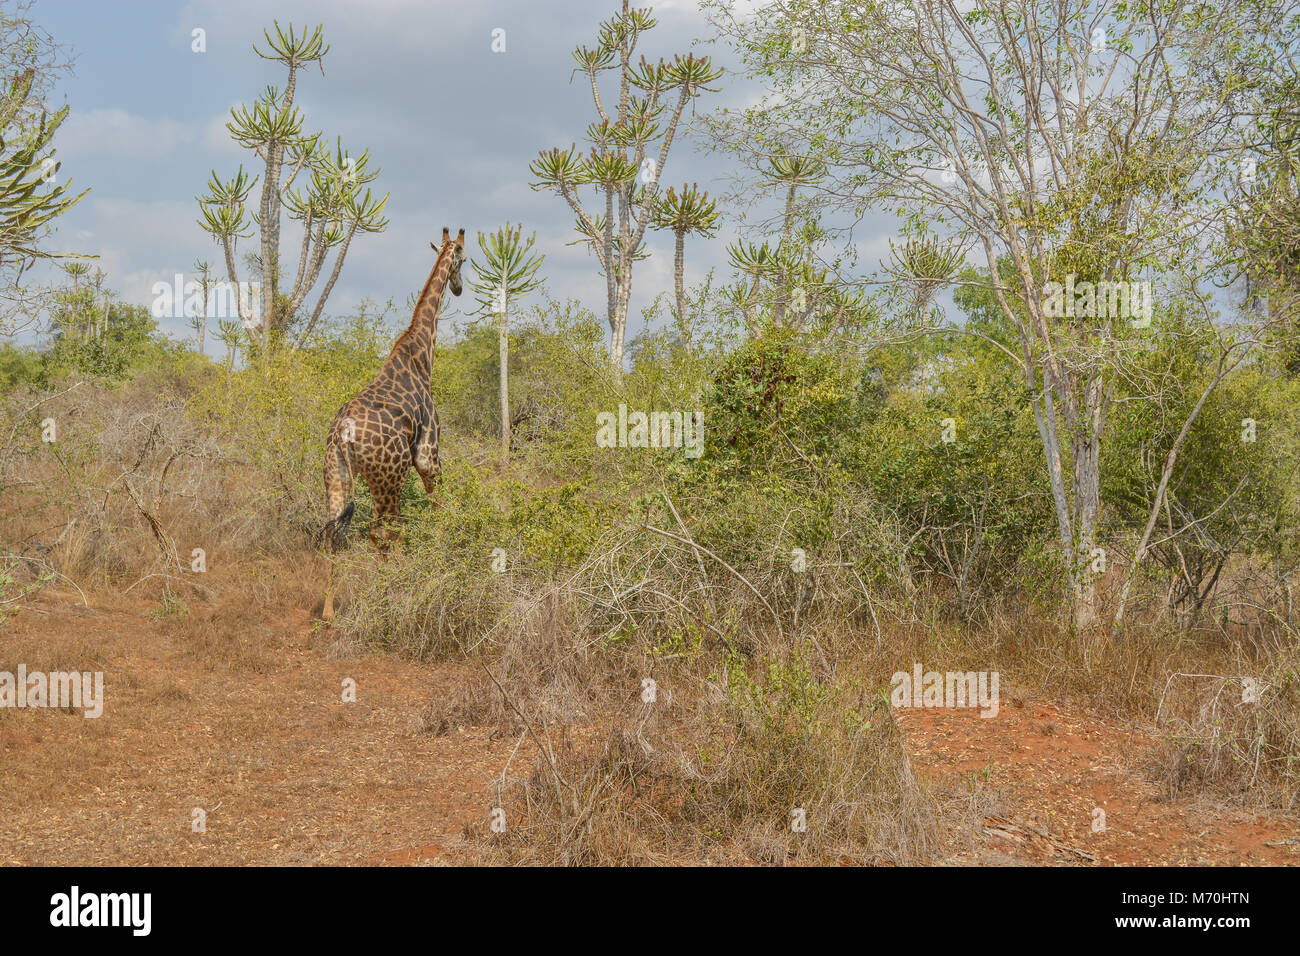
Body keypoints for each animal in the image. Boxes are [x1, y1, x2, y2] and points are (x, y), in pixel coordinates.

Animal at [320, 227, 466, 622]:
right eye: (464, 258)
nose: (459, 288)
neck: (420, 356)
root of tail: (343, 435)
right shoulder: (428, 454)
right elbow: (439, 506)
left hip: (337, 477)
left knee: (334, 534)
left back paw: (330, 612)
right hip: (389, 476)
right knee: (386, 531)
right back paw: (394, 589)